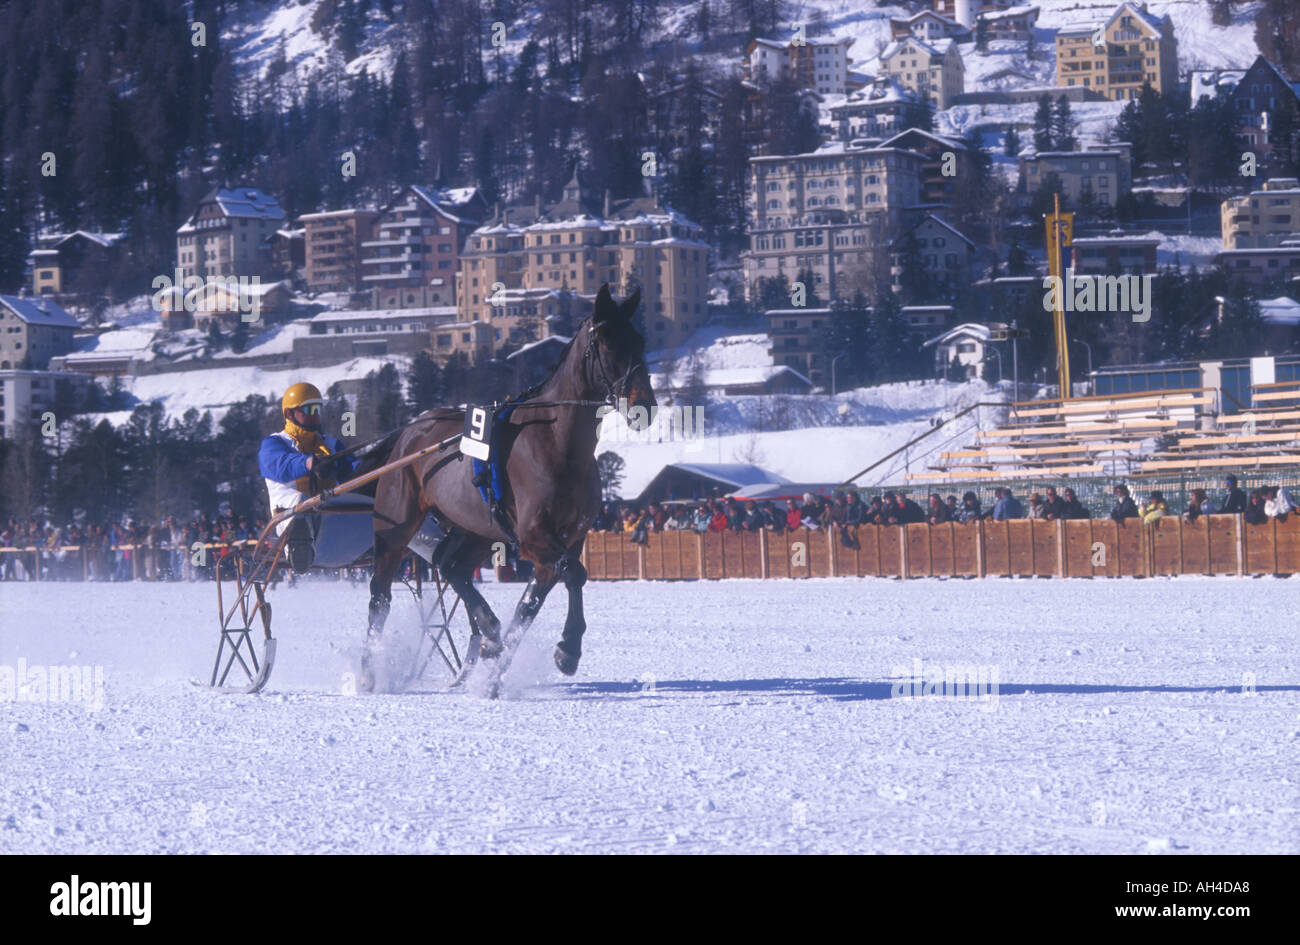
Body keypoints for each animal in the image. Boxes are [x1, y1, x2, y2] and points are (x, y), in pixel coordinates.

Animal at [365, 284, 654, 688]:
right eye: (608, 342)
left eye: (640, 340)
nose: (646, 405)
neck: (556, 442)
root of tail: (408, 433)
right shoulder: (533, 536)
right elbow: (573, 574)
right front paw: (567, 649)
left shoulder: (569, 537)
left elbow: (536, 599)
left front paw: (498, 670)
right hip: (396, 526)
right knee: (380, 593)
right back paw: (366, 671)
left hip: (475, 528)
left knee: (450, 566)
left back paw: (488, 631)